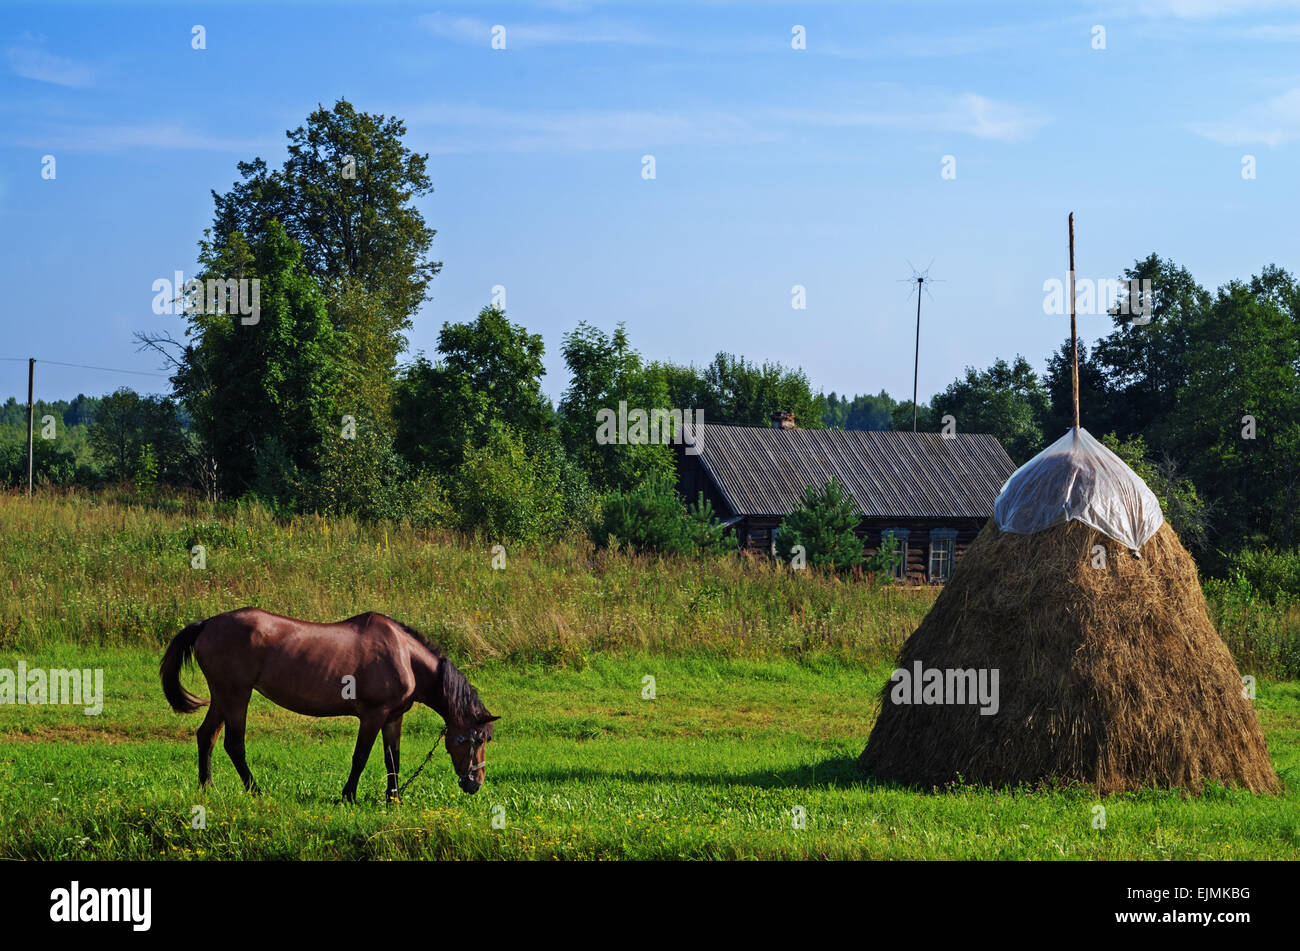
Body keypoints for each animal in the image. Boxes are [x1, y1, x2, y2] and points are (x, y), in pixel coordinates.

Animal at [160, 607, 498, 802]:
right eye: (478, 739)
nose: (476, 783)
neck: (404, 655)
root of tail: (206, 624)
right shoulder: (373, 715)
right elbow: (360, 757)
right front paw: (348, 796)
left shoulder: (393, 718)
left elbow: (393, 760)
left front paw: (394, 798)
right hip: (236, 695)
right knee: (233, 744)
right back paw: (255, 790)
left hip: (222, 695)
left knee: (206, 736)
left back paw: (207, 787)